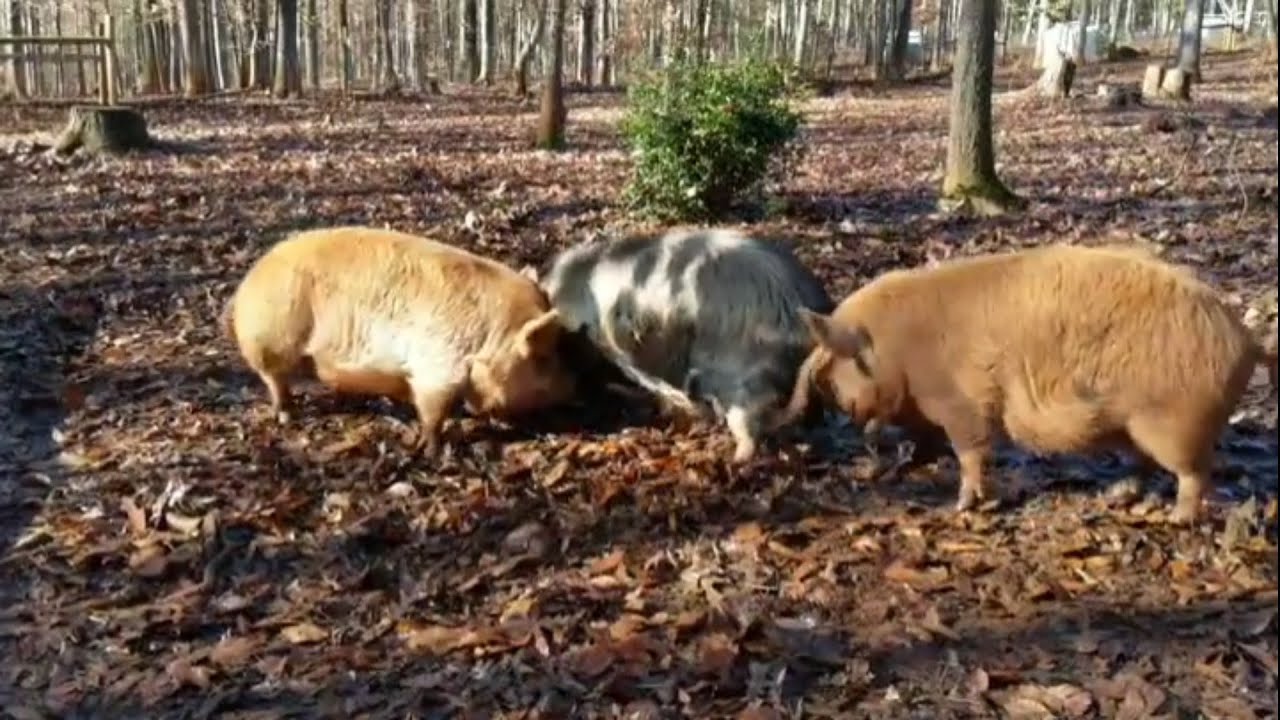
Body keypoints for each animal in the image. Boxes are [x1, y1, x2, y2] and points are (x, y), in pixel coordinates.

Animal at [222, 226, 576, 455]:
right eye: (542, 356)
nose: (572, 390)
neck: (487, 339)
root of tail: (245, 288)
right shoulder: (436, 367)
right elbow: (434, 412)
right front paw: (434, 452)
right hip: (272, 340)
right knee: (275, 380)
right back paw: (286, 415)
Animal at [783, 243, 1279, 525]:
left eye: (841, 366)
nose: (845, 414)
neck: (899, 346)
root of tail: (1248, 339)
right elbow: (925, 444)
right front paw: (903, 468)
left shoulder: (962, 404)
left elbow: (971, 451)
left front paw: (962, 506)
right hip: (1136, 426)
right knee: (1144, 463)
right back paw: (1120, 496)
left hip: (1175, 421)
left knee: (1196, 473)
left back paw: (1176, 520)